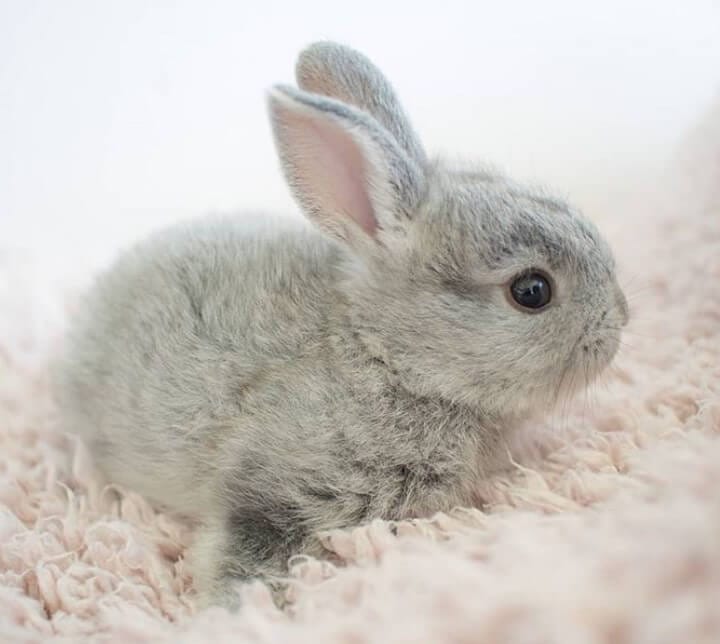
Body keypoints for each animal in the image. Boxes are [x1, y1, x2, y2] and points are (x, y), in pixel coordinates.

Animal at [54, 41, 629, 609]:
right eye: (531, 291)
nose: (619, 320)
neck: (384, 354)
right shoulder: (279, 491)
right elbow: (245, 548)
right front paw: (234, 610)